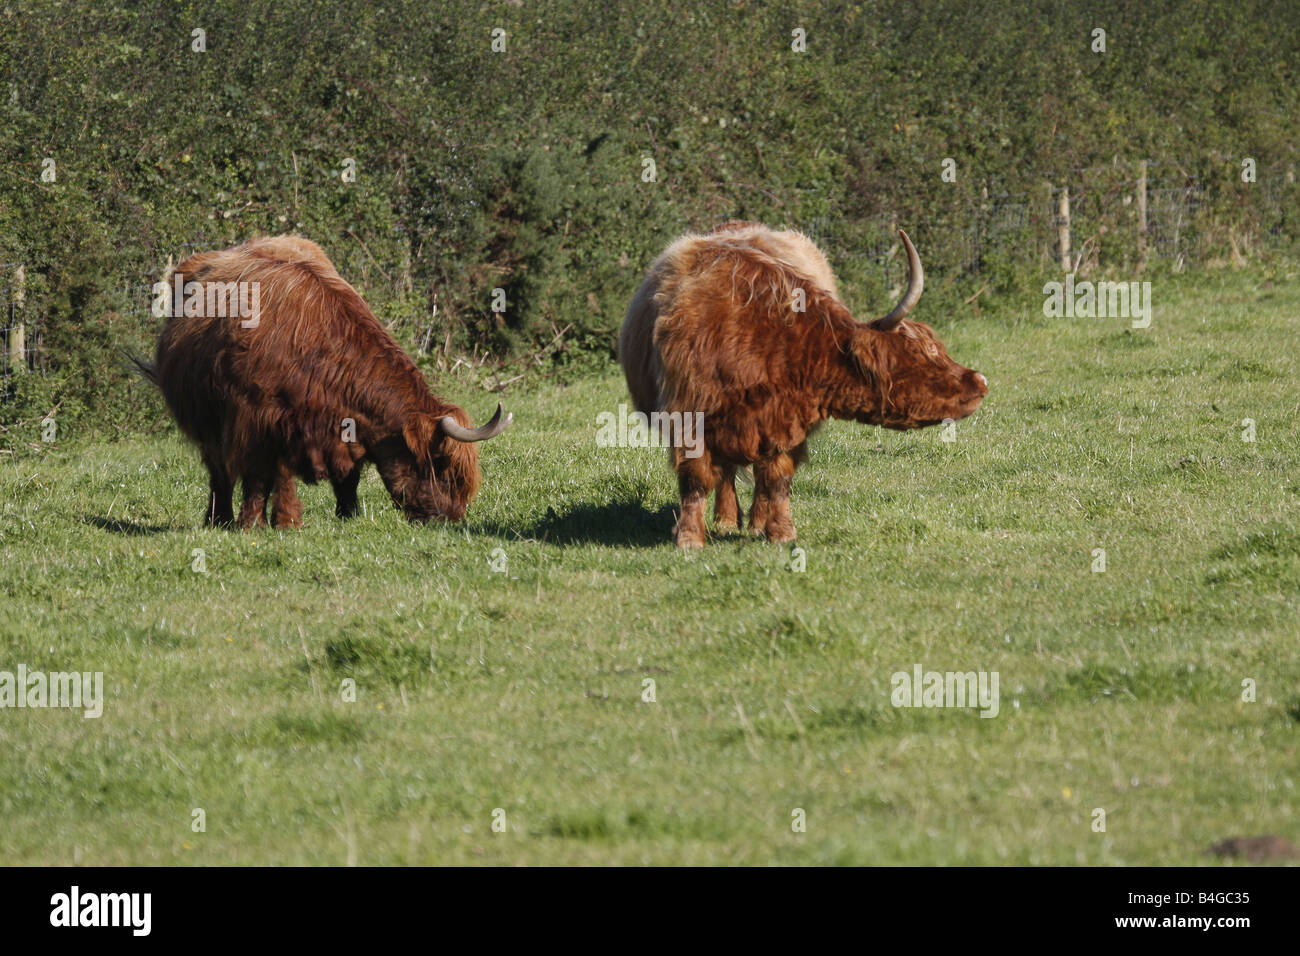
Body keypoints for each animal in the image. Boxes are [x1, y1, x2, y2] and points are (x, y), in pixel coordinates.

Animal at [136, 236, 511, 528]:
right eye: (443, 466)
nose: (452, 519)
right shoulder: (260, 420)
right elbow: (265, 475)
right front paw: (268, 523)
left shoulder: (346, 427)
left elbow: (348, 476)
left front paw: (348, 516)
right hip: (207, 422)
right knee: (220, 473)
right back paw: (220, 519)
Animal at [618, 221, 987, 548]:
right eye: (928, 351)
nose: (980, 381)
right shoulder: (689, 417)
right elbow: (696, 479)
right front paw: (689, 538)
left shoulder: (786, 420)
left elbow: (778, 479)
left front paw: (781, 532)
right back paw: (726, 521)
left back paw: (755, 523)